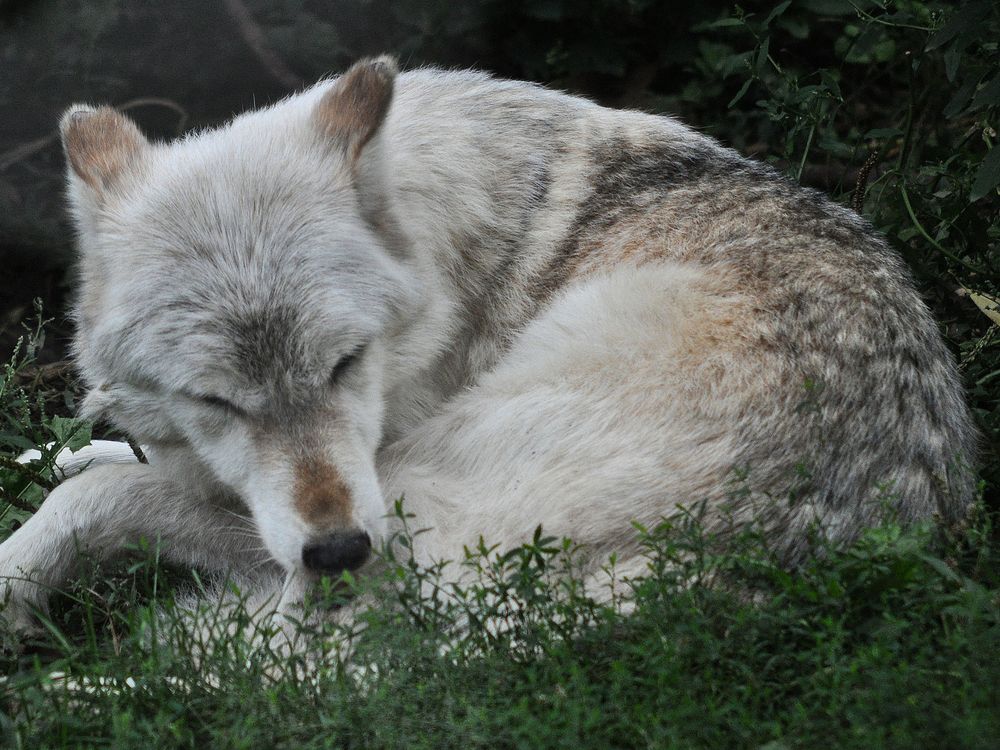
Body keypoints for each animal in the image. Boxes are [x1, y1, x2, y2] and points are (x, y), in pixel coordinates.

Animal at [0, 57, 976, 637]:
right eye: (216, 402)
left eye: (347, 364)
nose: (338, 552)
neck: (449, 247)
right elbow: (116, 462)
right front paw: (55, 451)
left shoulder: (363, 502)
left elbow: (109, 489)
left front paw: (19, 573)